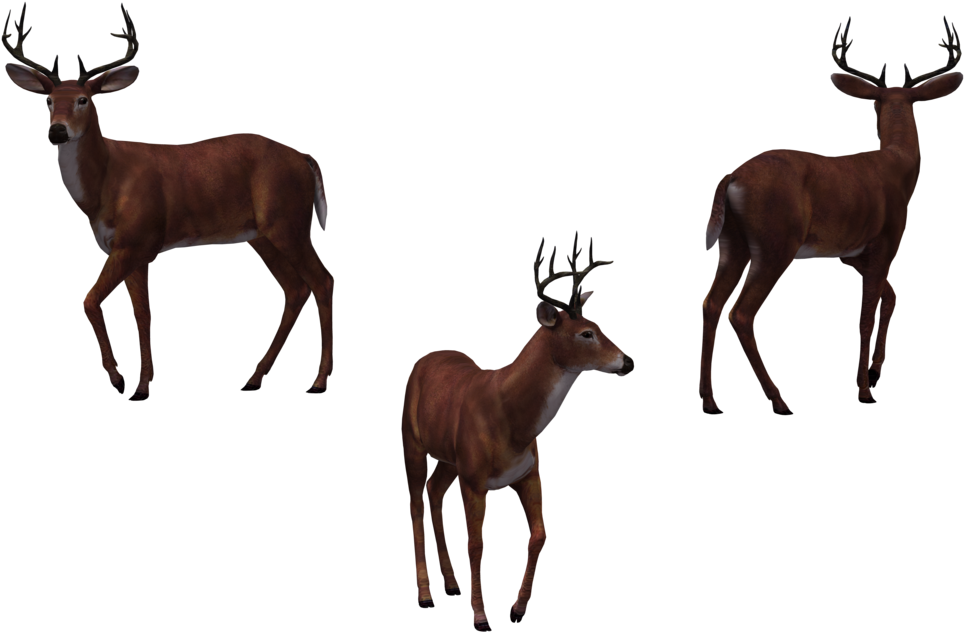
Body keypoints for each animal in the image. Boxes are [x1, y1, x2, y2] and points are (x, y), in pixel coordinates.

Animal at [3, 3, 334, 401]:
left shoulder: (136, 240)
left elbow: (90, 300)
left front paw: (120, 380)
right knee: (296, 288)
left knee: (323, 281)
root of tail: (304, 157)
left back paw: (317, 383)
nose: (57, 131)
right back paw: (253, 380)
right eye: (49, 100)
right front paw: (141, 386)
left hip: (290, 223)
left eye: (84, 99)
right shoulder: (133, 249)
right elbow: (142, 315)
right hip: (261, 236)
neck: (107, 183)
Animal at [401, 232, 634, 631]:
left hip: (450, 460)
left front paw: (517, 609)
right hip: (412, 441)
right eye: (586, 333)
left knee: (434, 491)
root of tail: (429, 355)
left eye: (600, 325)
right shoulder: (475, 479)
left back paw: (451, 586)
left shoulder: (530, 473)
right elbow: (476, 544)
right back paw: (427, 596)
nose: (628, 361)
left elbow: (539, 535)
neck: (511, 422)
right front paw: (481, 617)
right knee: (416, 502)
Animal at [700, 15, 962, 415]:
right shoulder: (887, 240)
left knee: (711, 304)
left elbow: (890, 297)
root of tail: (732, 178)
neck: (899, 165)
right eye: (874, 105)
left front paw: (876, 371)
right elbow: (865, 315)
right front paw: (864, 391)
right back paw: (780, 400)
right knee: (741, 313)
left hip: (733, 243)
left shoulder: (849, 253)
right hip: (776, 244)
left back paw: (710, 401)